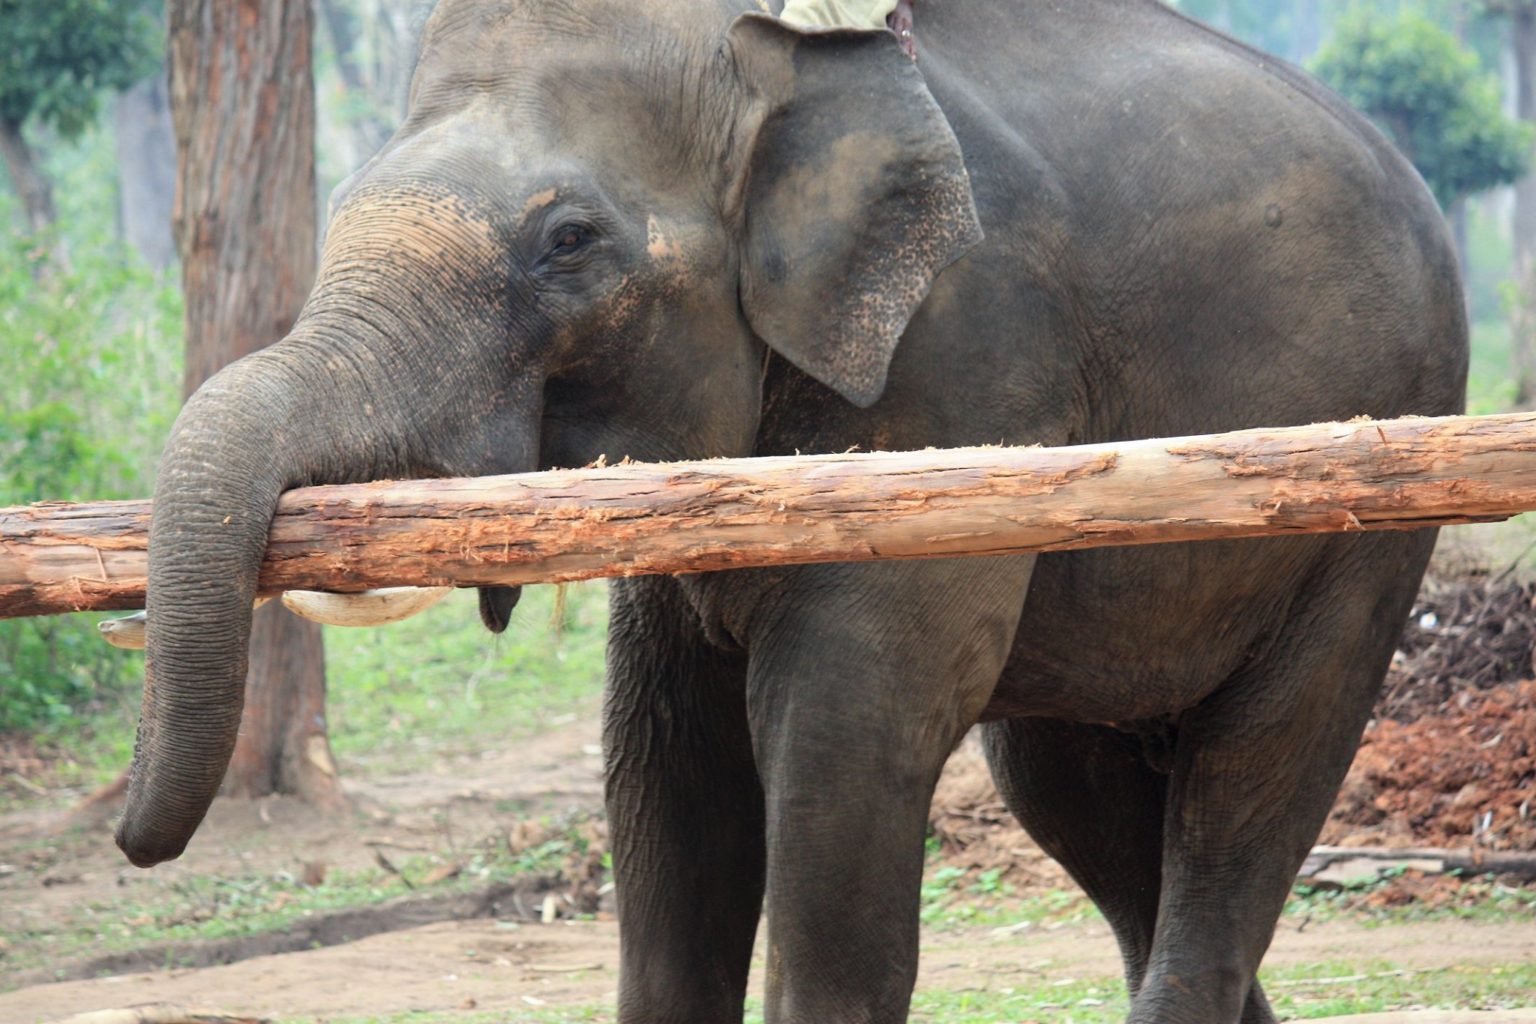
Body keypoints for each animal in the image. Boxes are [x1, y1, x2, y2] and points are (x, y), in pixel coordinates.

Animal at [112, 1, 1468, 1022]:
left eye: (568, 241)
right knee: (1069, 788)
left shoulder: (970, 355)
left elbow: (842, 735)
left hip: (1374, 503)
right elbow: (666, 765)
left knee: (1251, 785)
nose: (131, 848)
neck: (771, 64)